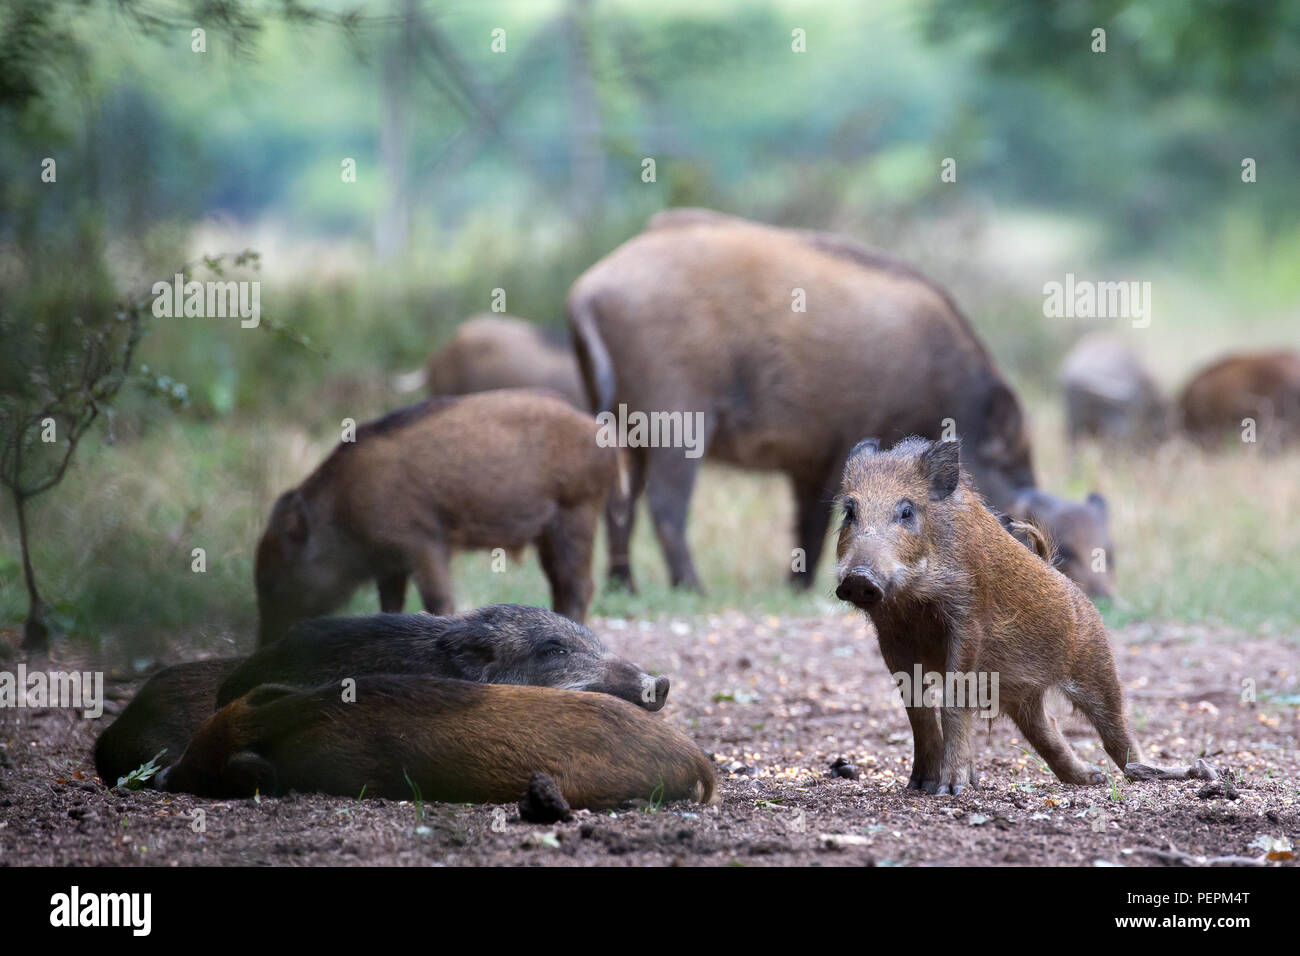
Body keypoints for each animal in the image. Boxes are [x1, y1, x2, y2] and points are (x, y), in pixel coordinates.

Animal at [255, 390, 618, 645]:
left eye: (271, 582)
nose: (264, 644)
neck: (341, 508)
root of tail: (600, 433)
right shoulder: (389, 564)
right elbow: (391, 604)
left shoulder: (423, 544)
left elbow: (438, 600)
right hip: (548, 535)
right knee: (560, 584)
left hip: (576, 516)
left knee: (578, 585)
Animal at [567, 208, 1110, 597]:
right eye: (1012, 475)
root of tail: (587, 290)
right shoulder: (839, 443)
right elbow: (817, 519)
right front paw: (802, 590)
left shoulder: (808, 458)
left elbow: (806, 519)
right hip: (677, 414)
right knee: (664, 501)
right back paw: (693, 590)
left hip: (619, 422)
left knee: (620, 501)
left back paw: (626, 588)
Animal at [834, 436, 1142, 794]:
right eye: (849, 512)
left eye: (906, 511)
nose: (859, 578)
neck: (915, 601)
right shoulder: (890, 636)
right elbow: (917, 708)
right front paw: (920, 785)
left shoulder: (969, 622)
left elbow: (952, 700)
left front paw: (952, 789)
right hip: (1024, 697)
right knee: (1047, 729)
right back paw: (1090, 777)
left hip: (1096, 664)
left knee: (1116, 729)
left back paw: (1144, 772)